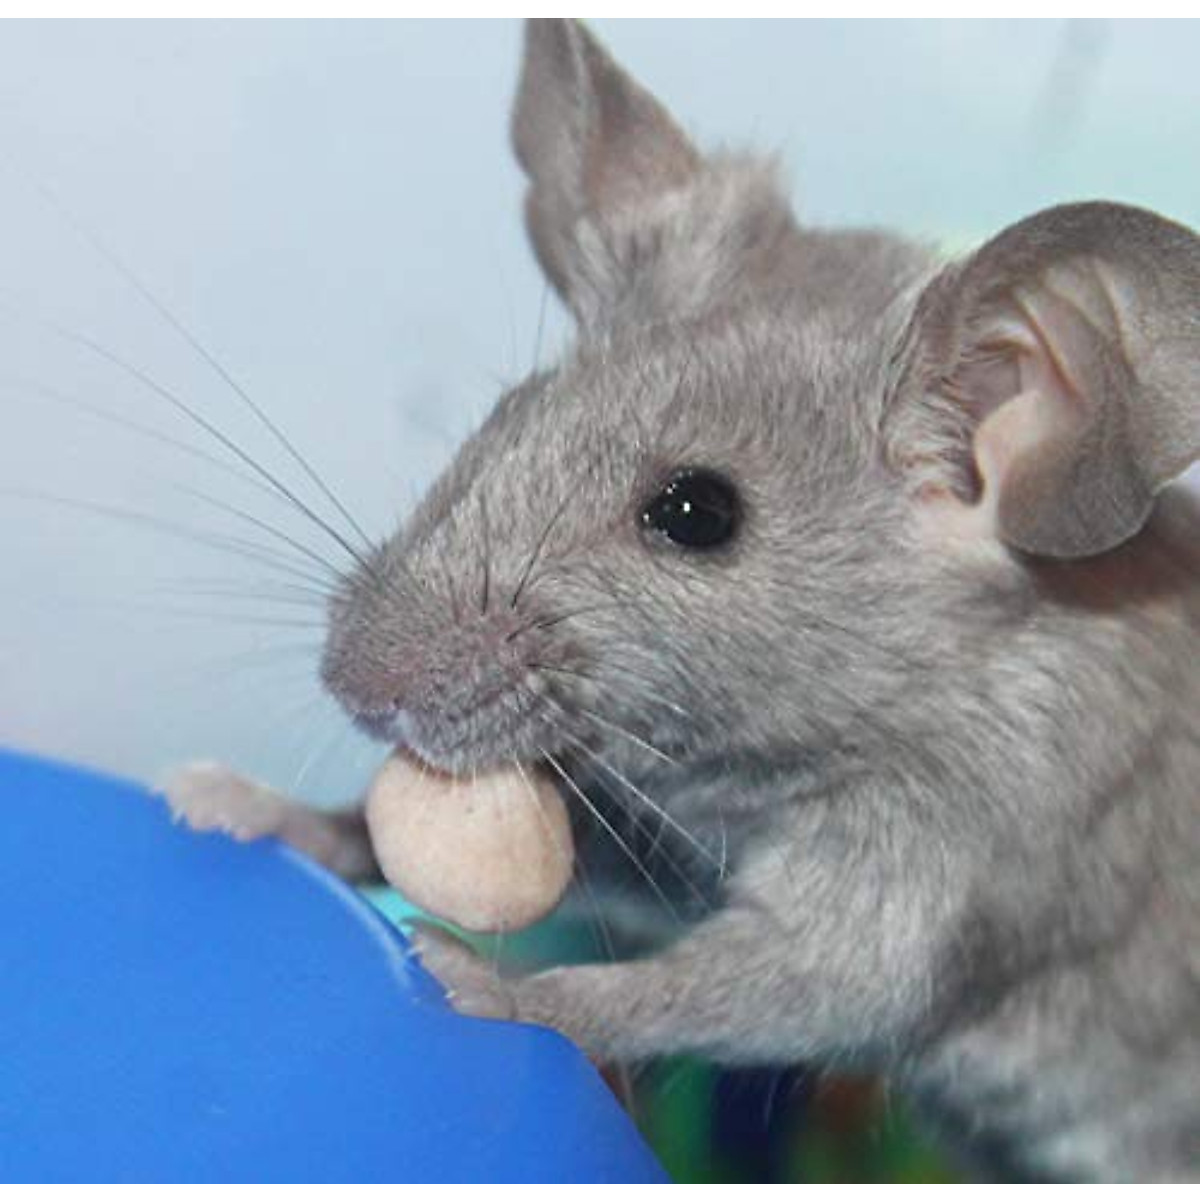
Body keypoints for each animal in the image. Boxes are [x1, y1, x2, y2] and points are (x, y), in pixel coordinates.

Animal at [167, 18, 1200, 1182]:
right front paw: (257, 808)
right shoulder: (672, 834)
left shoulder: (973, 836)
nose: (353, 681)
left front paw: (489, 988)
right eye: (509, 412)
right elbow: (603, 867)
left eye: (697, 511)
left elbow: (790, 981)